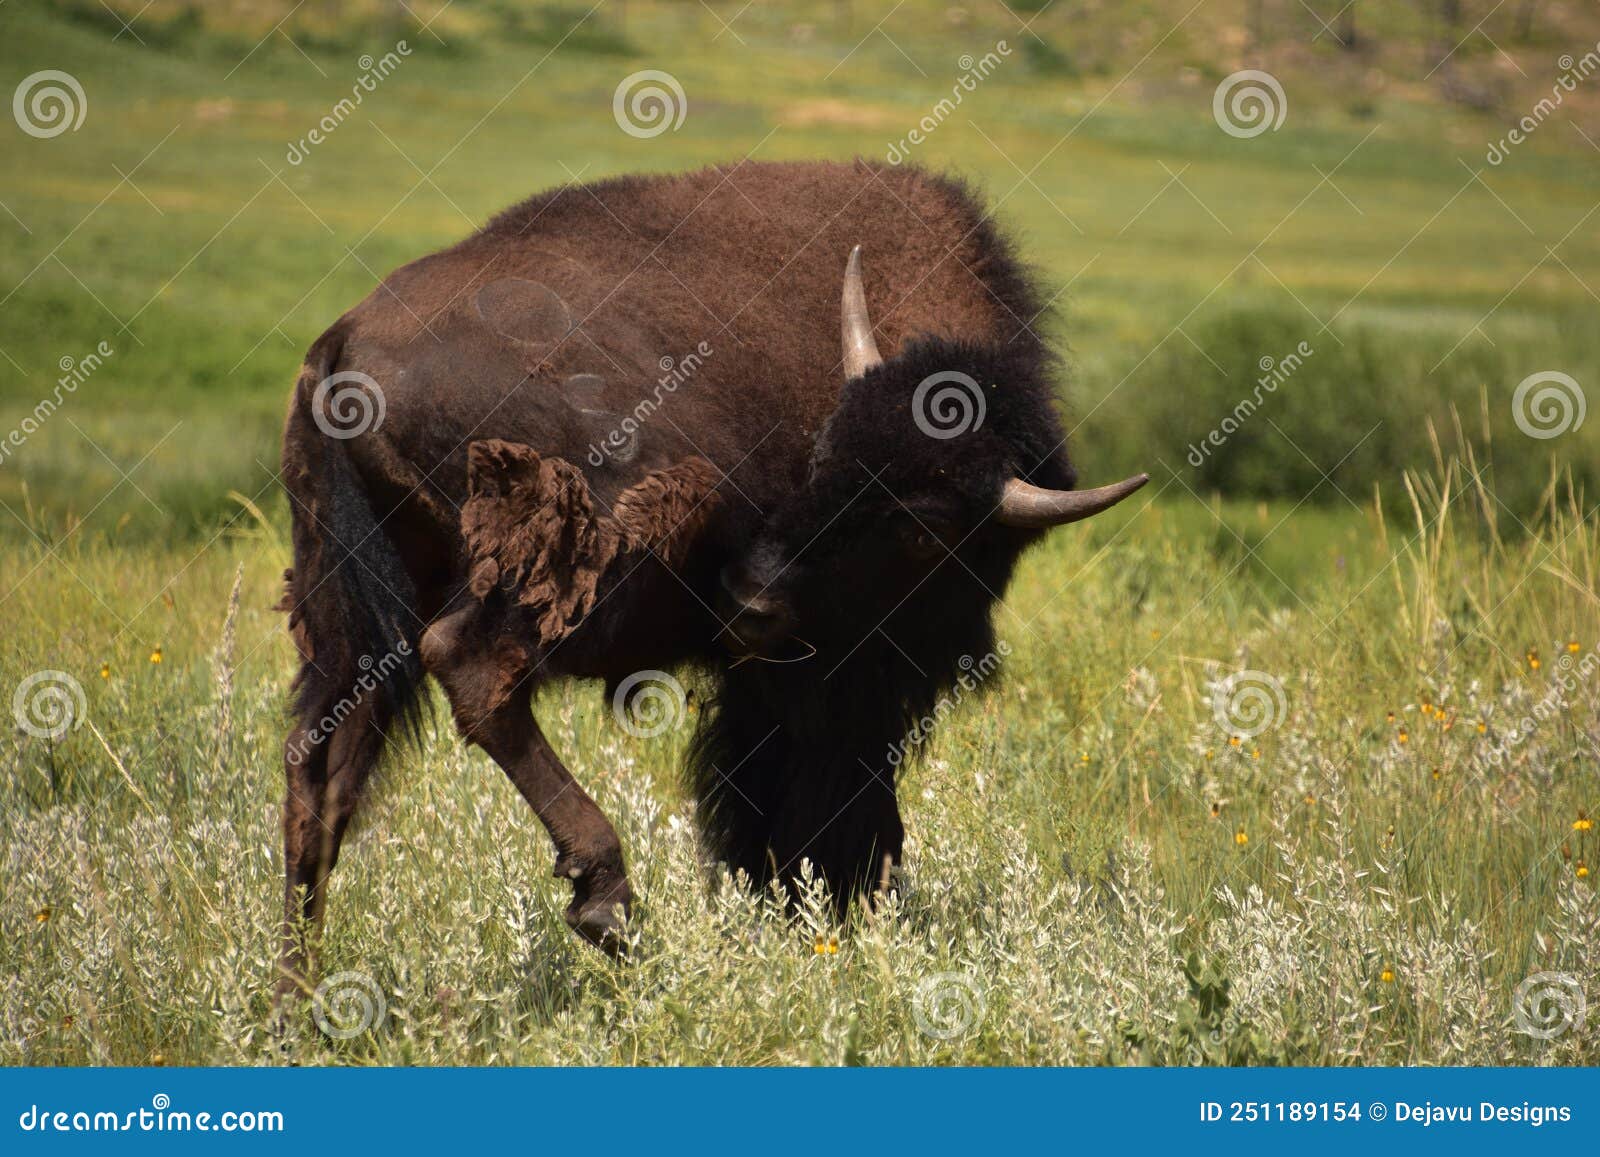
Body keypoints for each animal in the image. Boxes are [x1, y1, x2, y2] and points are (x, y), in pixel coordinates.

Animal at [276, 159, 1145, 995]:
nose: (746, 598)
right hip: (562, 579)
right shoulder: (833, 681)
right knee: (471, 667)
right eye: (826, 453)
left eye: (922, 524)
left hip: (349, 614)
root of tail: (343, 346)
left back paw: (298, 1005)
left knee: (318, 779)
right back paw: (608, 899)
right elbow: (829, 806)